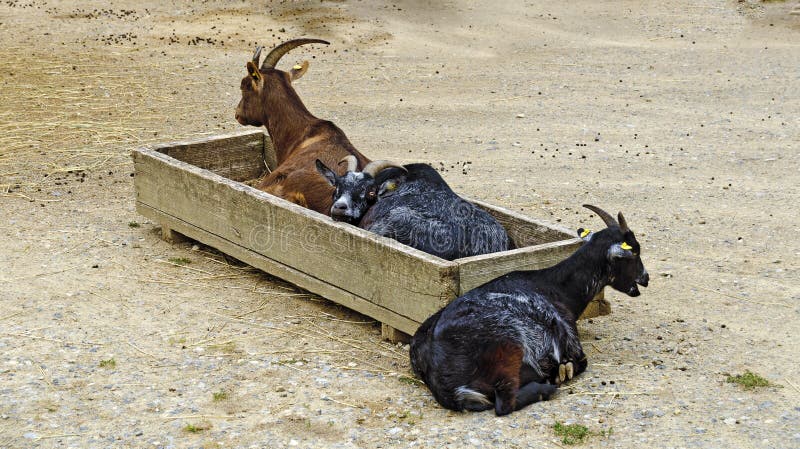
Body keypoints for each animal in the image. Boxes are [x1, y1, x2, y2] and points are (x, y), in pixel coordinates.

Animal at [409, 204, 650, 415]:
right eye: (635, 252)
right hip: (509, 348)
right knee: (504, 403)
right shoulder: (570, 340)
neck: (556, 288)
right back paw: (545, 387)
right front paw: (562, 372)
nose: (646, 278)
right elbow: (581, 362)